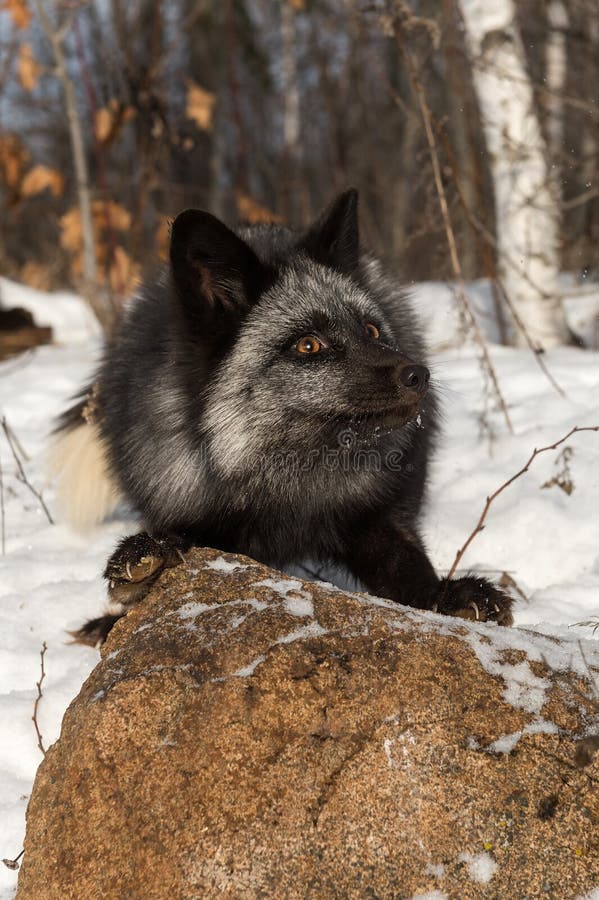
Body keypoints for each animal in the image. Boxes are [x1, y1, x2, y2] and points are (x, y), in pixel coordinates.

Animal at [50, 189, 513, 645]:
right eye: (308, 345)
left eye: (372, 331)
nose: (419, 375)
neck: (290, 487)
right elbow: (188, 540)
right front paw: (151, 560)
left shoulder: (376, 513)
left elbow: (407, 565)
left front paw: (448, 595)